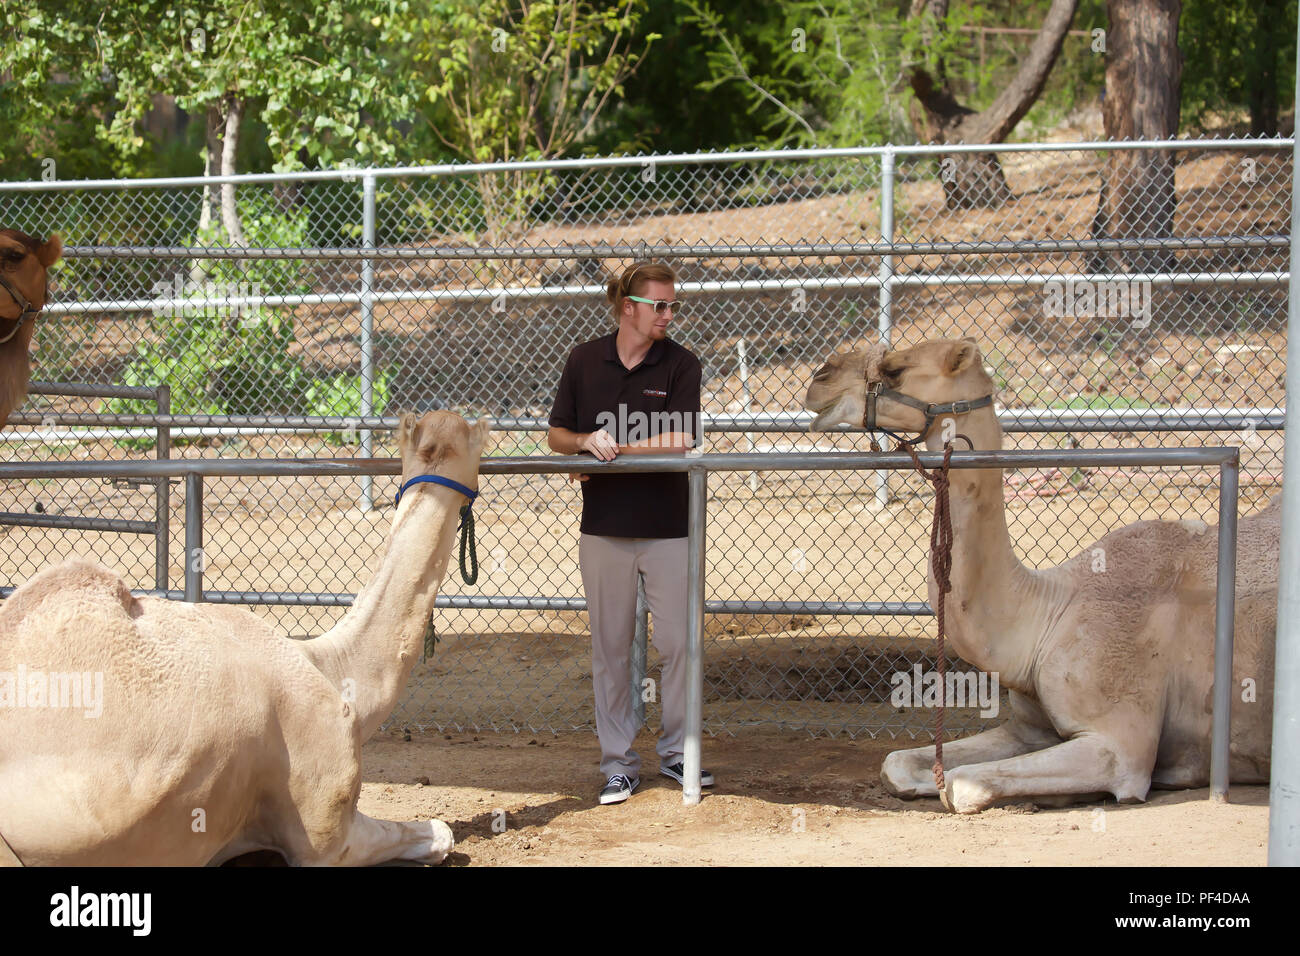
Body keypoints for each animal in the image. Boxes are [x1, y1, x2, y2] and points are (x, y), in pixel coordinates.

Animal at [805, 338, 1278, 813]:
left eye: (895, 368)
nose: (818, 379)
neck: (1048, 614)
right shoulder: (1027, 729)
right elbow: (897, 763)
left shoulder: (1121, 743)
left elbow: (961, 785)